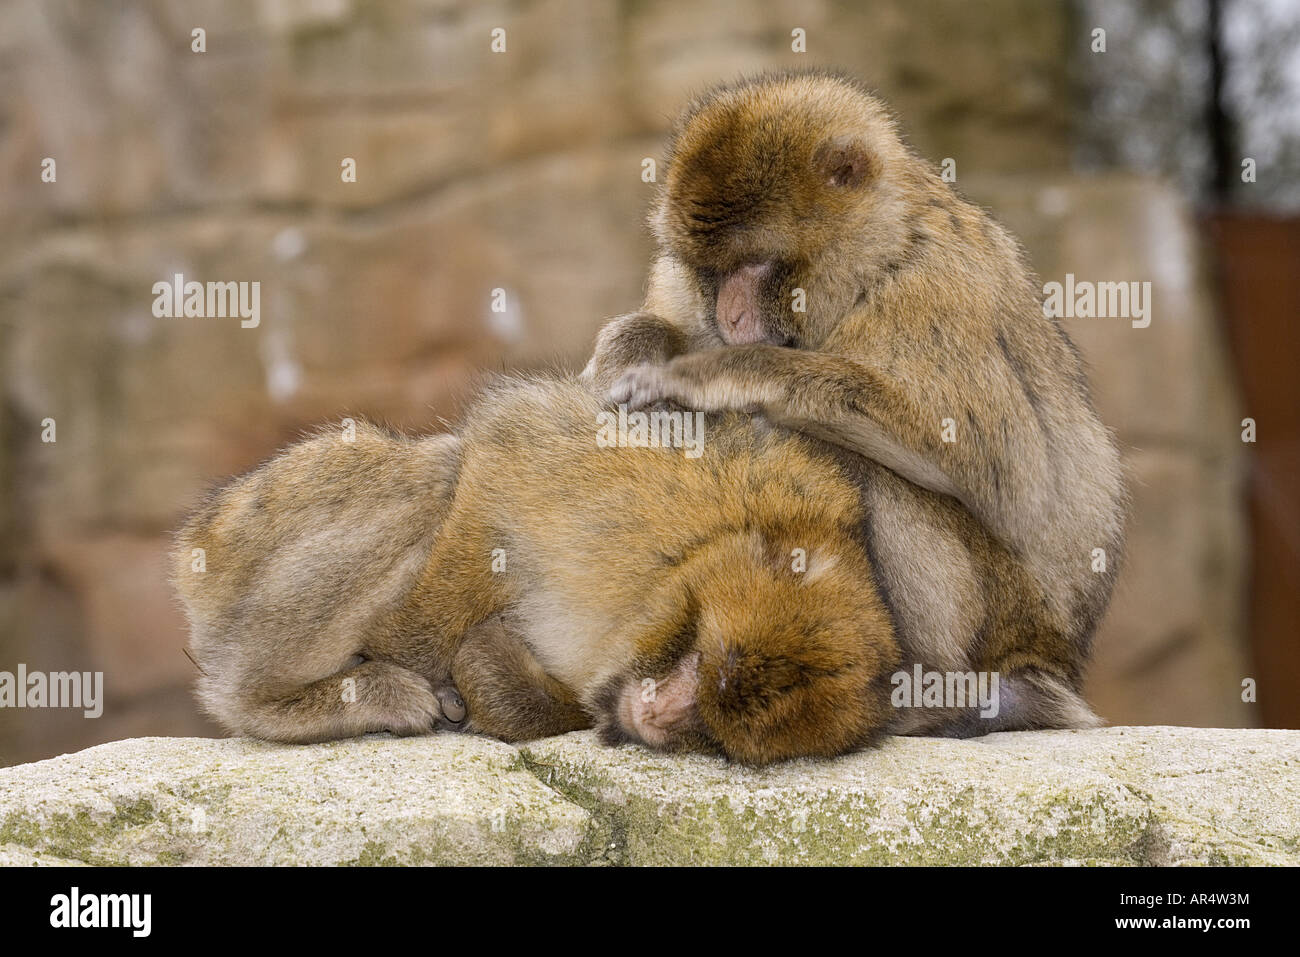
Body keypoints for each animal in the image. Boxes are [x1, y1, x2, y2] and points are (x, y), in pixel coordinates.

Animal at [582, 70, 1125, 729]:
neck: (877, 250)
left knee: (869, 473)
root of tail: (1054, 657)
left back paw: (921, 695)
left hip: (1006, 619)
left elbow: (1011, 475)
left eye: (755, 263)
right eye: (710, 270)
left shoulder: (933, 285)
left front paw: (722, 371)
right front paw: (631, 351)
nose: (730, 317)